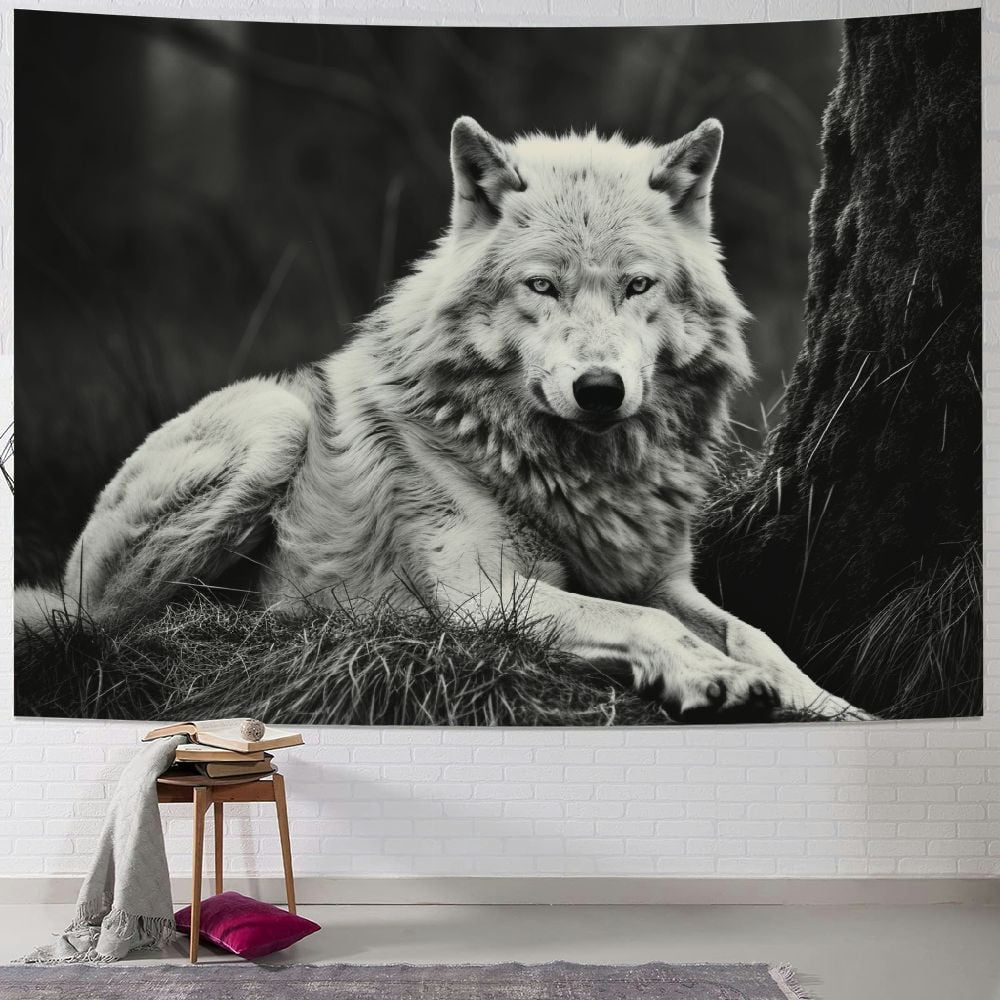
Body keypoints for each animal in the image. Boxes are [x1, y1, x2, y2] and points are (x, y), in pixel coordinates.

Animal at [18, 117, 866, 721]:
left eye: (637, 285)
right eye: (542, 286)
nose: (599, 388)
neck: (567, 472)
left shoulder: (658, 577)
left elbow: (752, 633)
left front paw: (829, 702)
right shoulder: (478, 593)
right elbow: (647, 625)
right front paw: (707, 676)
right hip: (275, 424)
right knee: (111, 624)